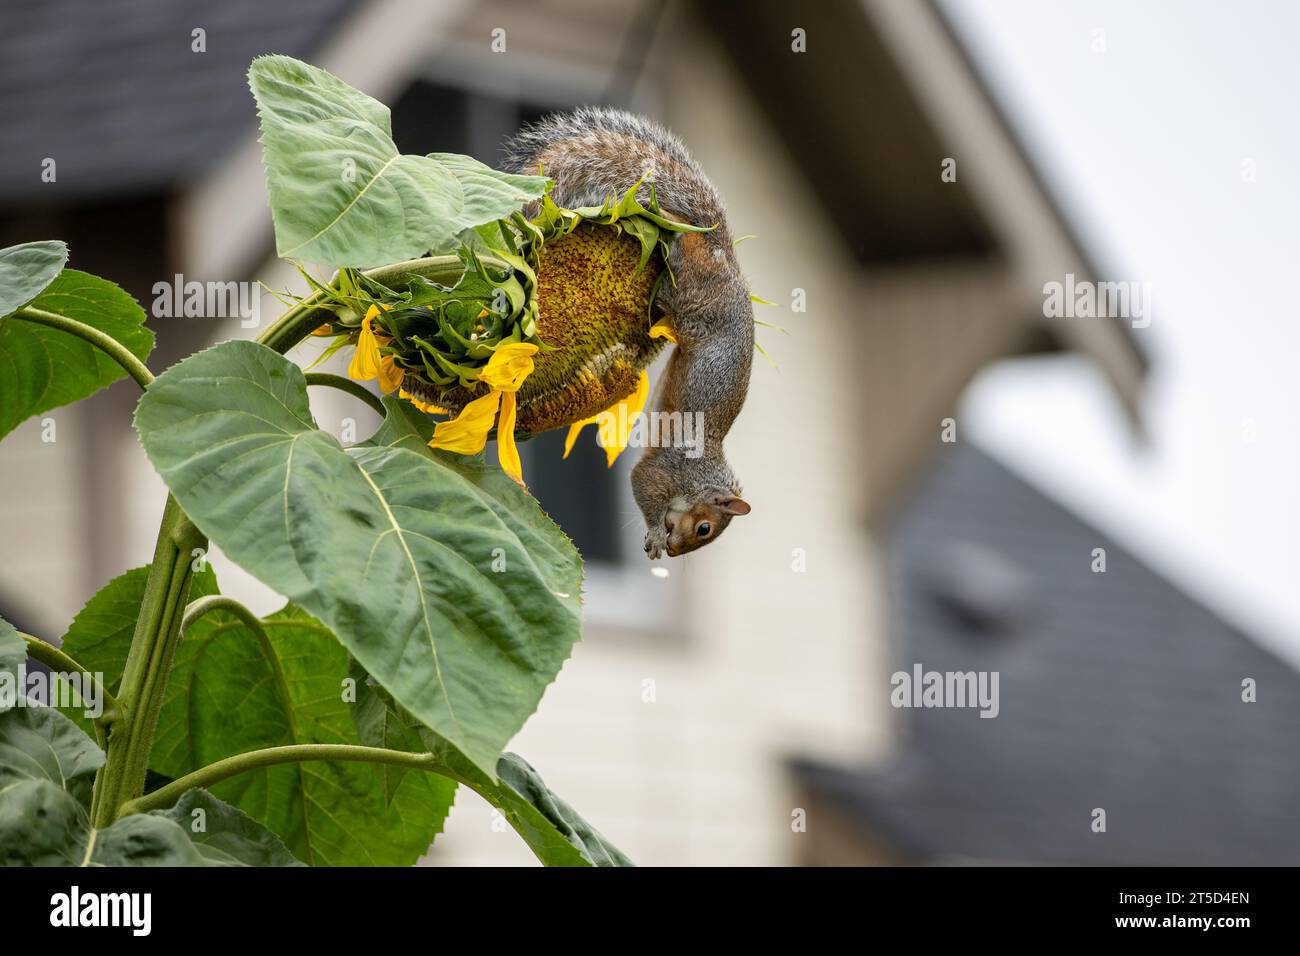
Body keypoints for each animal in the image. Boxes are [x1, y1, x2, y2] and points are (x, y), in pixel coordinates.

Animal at [504, 107, 753, 559]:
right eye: (705, 528)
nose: (675, 551)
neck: (700, 477)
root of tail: (723, 254)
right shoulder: (666, 469)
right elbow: (643, 483)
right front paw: (654, 532)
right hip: (693, 294)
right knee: (680, 241)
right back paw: (666, 215)